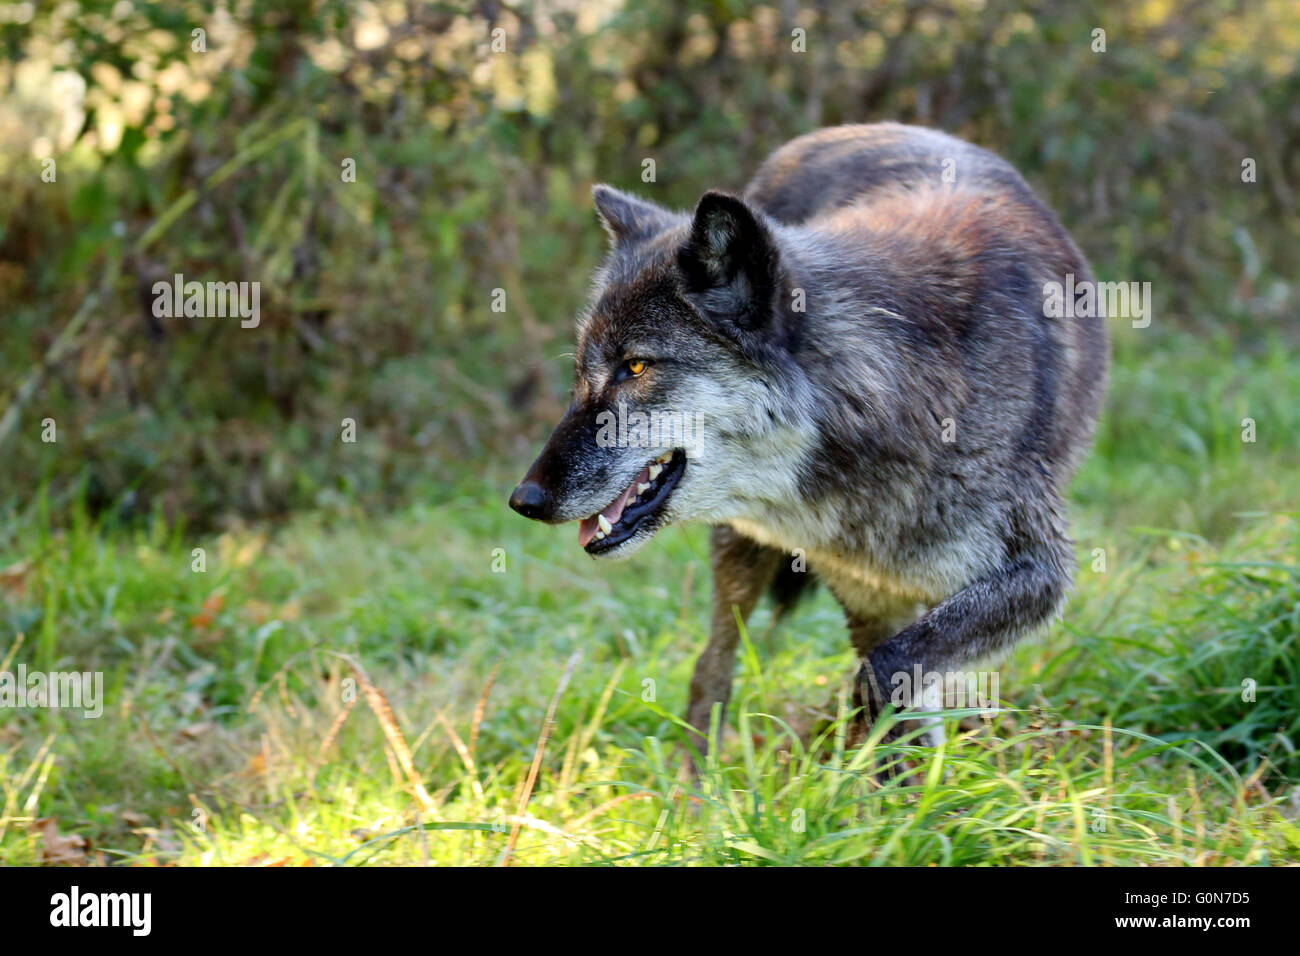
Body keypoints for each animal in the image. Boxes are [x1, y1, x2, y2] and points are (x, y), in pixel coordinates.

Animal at [509, 123, 1109, 753]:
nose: (524, 500)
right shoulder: (869, 594)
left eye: (636, 367)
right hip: (739, 547)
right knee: (710, 668)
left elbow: (886, 677)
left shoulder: (1037, 574)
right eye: (583, 374)